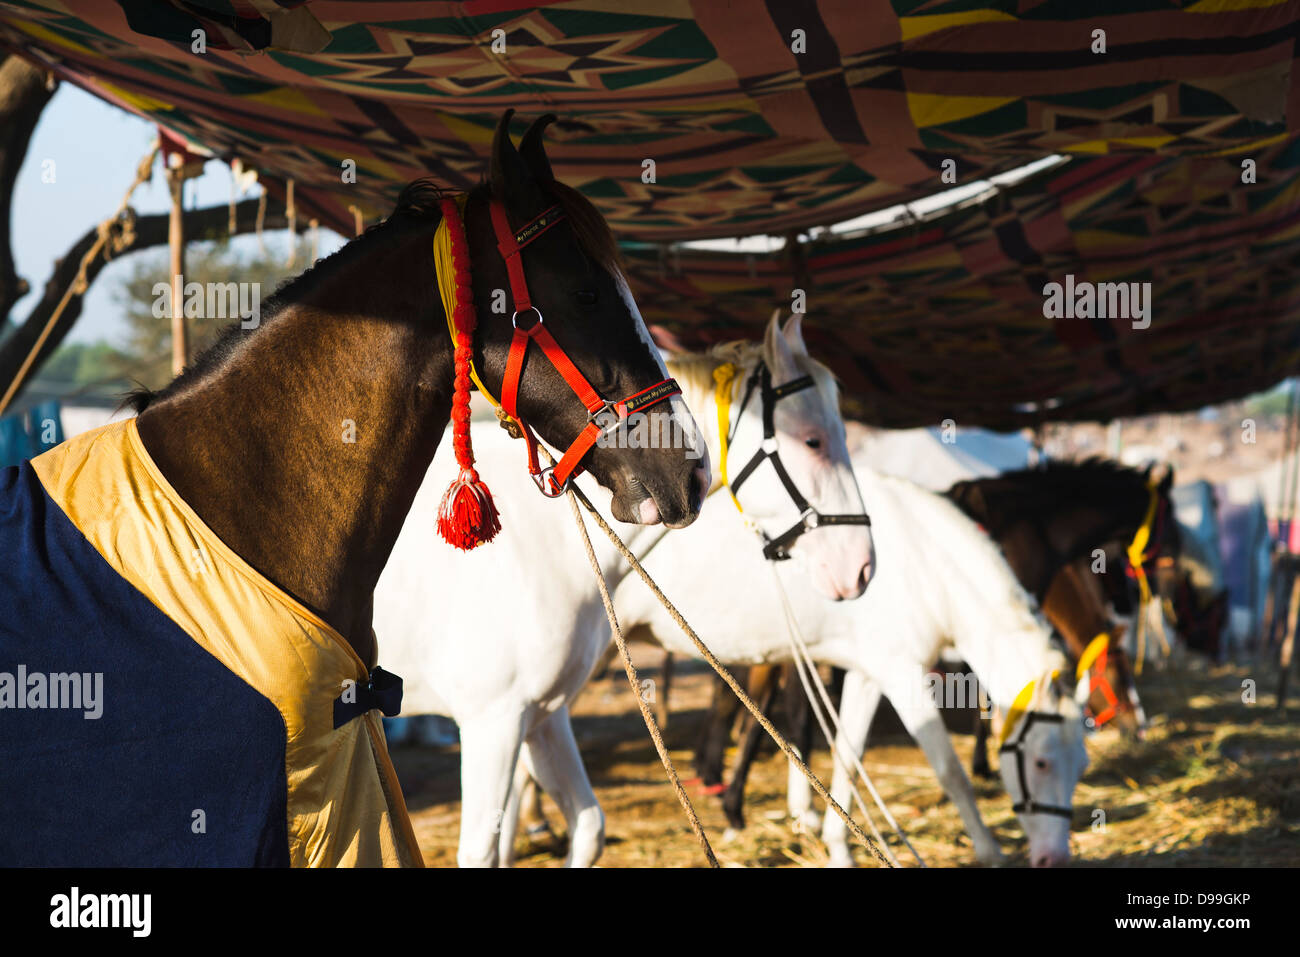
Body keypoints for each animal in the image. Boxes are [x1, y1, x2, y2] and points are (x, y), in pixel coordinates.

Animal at [374, 313, 874, 866]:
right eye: (812, 441)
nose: (860, 566)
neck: (537, 543)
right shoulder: (493, 721)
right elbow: (484, 849)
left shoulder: (542, 717)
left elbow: (589, 826)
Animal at [611, 456, 1088, 867]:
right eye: (1041, 762)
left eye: (1081, 765)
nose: (1055, 859)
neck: (923, 559)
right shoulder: (901, 675)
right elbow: (951, 773)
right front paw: (990, 851)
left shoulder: (866, 675)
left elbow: (847, 758)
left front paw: (838, 848)